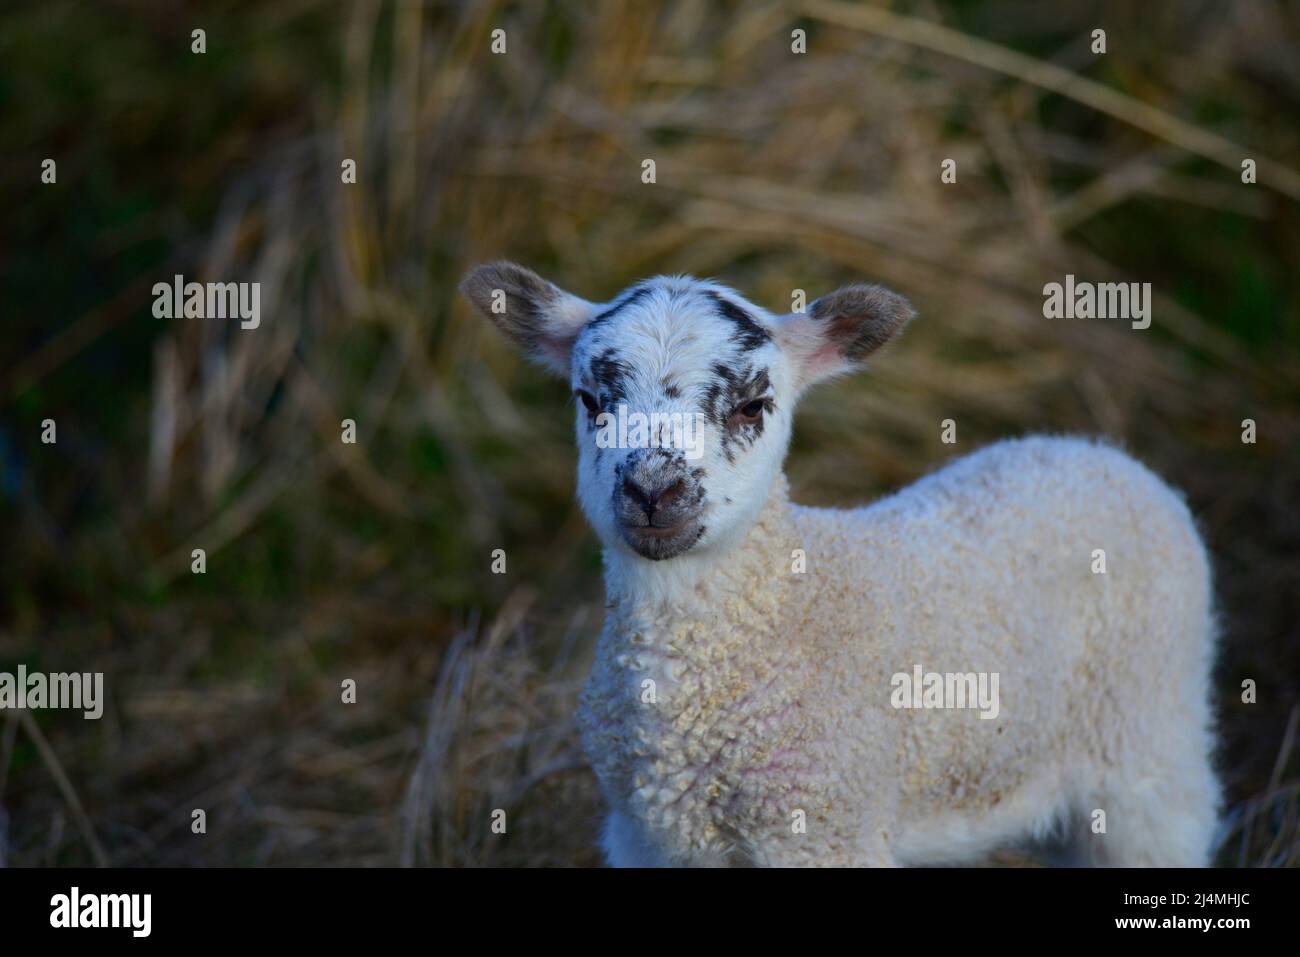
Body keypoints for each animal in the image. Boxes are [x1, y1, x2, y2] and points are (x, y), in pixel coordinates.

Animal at [460, 260, 1222, 867]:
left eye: (752, 405)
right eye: (591, 400)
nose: (654, 490)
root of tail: (1095, 450)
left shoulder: (820, 825)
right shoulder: (647, 836)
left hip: (1149, 741)